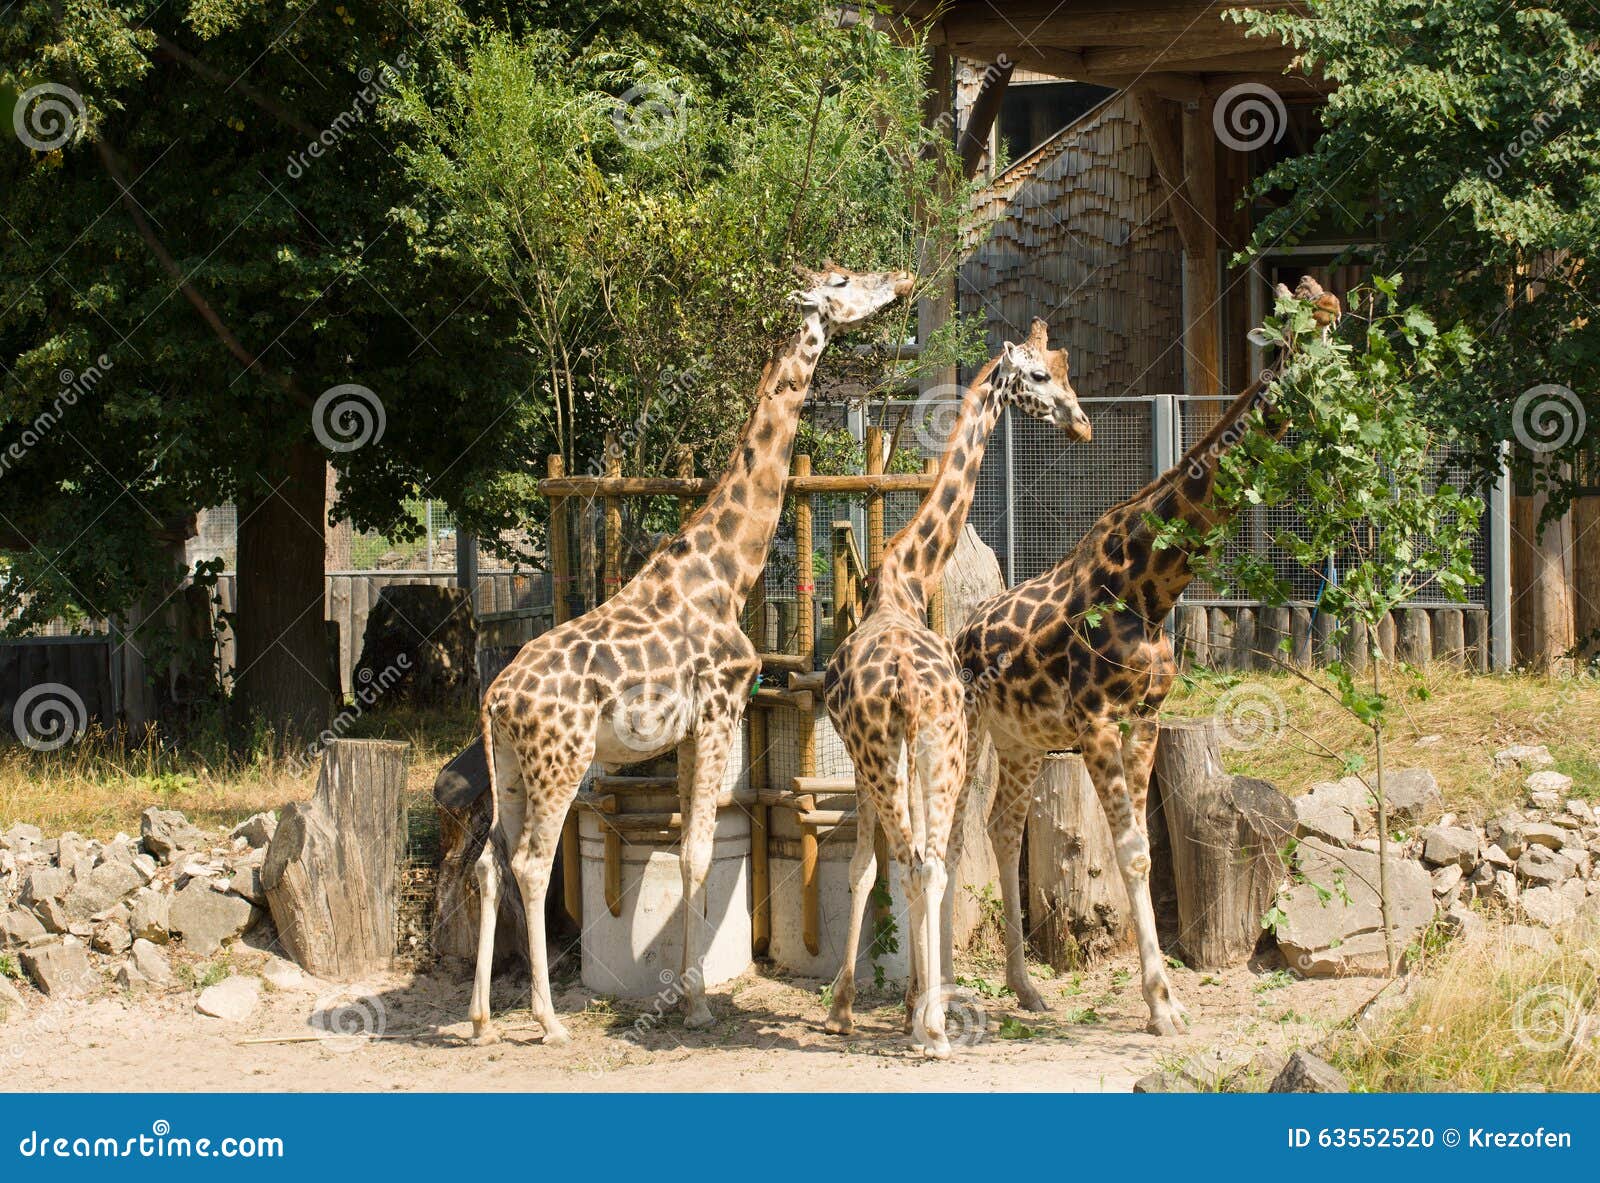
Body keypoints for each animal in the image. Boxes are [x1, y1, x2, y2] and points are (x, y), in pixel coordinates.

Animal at [469, 263, 915, 1046]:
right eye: (842, 281)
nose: (899, 279)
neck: (725, 569)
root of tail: (496, 697)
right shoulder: (717, 712)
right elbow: (699, 851)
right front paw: (699, 1002)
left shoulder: (683, 732)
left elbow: (685, 849)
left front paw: (682, 997)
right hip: (560, 760)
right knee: (528, 864)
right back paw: (548, 1021)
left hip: (512, 767)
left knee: (489, 863)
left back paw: (481, 1019)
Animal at [821, 319, 1091, 1057]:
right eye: (1042, 376)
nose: (1083, 424)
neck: (904, 581)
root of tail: (907, 691)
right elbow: (877, 866)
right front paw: (893, 1001)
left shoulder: (868, 757)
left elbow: (865, 867)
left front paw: (849, 1007)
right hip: (932, 752)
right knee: (931, 861)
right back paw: (934, 1018)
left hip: (904, 754)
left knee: (921, 862)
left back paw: (932, 1024)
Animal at [954, 277, 1341, 1036]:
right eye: (1297, 331)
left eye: (1333, 322)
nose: (1336, 309)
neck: (1153, 585)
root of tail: (961, 633)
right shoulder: (1099, 722)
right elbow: (1131, 853)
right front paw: (1163, 1005)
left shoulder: (1146, 718)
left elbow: (1142, 851)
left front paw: (1165, 997)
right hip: (970, 725)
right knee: (946, 834)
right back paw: (925, 993)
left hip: (1022, 741)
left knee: (1001, 828)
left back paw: (1024, 987)